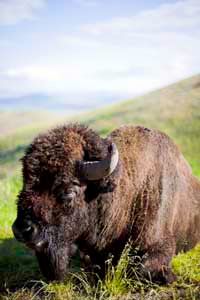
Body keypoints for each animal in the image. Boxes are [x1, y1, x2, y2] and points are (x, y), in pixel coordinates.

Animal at [12, 123, 200, 282]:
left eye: (69, 191)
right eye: (24, 184)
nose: (23, 230)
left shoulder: (159, 243)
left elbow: (142, 269)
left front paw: (169, 277)